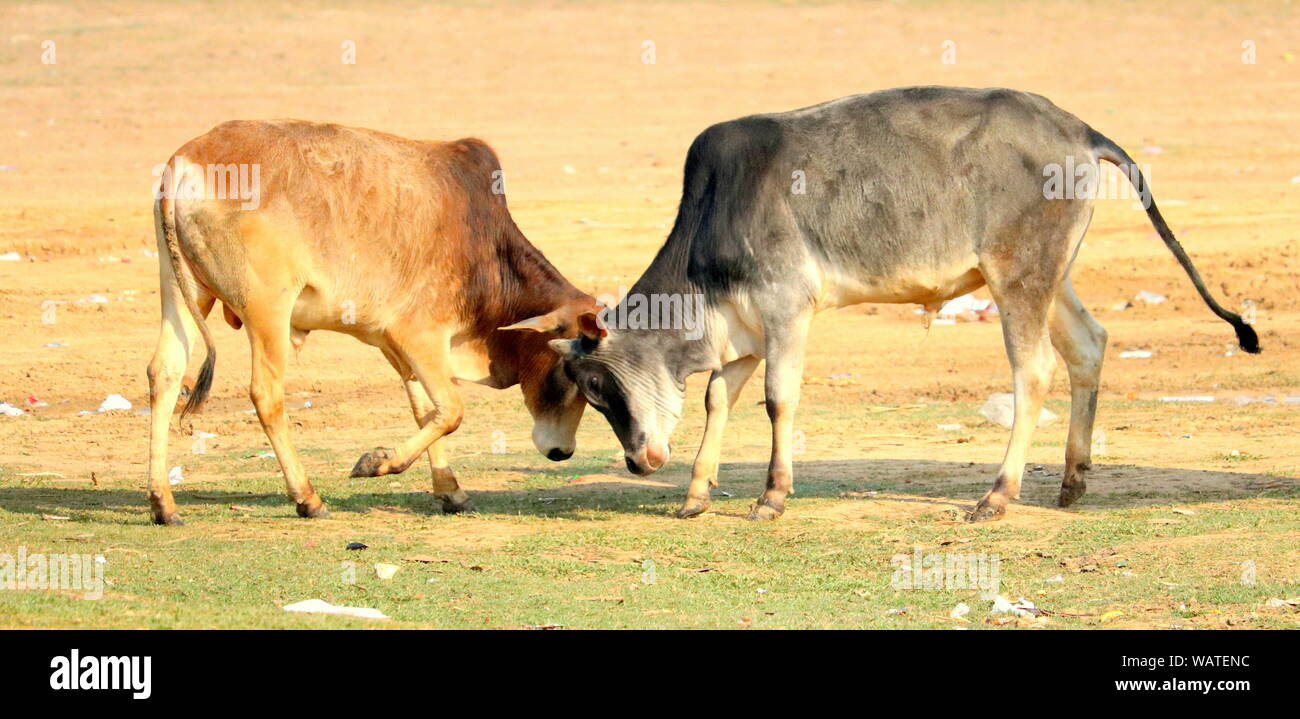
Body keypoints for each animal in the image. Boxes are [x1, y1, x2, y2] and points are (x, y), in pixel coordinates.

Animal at [146, 120, 598, 525]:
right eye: (571, 372)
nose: (563, 453)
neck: (484, 246)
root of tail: (187, 160)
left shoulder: (394, 345)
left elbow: (428, 412)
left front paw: (451, 492)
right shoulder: (420, 337)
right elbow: (451, 411)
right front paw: (377, 463)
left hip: (185, 293)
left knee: (165, 373)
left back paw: (163, 504)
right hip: (268, 309)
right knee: (266, 394)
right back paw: (307, 498)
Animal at [535, 87, 1260, 523]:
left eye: (596, 388)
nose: (638, 462)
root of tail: (1077, 128)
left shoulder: (787, 310)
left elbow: (777, 401)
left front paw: (772, 495)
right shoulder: (743, 330)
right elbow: (717, 399)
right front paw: (694, 494)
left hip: (1018, 279)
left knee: (1034, 373)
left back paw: (998, 495)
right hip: (1049, 277)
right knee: (1089, 345)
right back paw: (1072, 481)